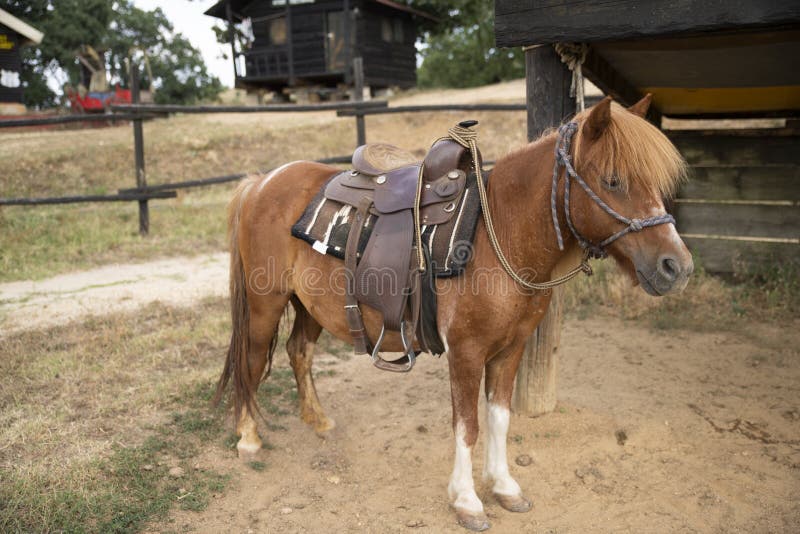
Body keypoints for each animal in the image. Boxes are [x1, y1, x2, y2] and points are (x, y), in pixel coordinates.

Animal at [214, 95, 693, 531]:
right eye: (613, 181)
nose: (678, 266)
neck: (501, 234)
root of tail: (261, 181)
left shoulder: (510, 350)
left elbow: (499, 419)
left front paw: (503, 486)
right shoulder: (466, 352)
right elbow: (467, 426)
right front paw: (467, 501)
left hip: (309, 304)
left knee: (299, 351)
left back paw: (319, 420)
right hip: (265, 303)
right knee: (251, 362)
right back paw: (249, 438)